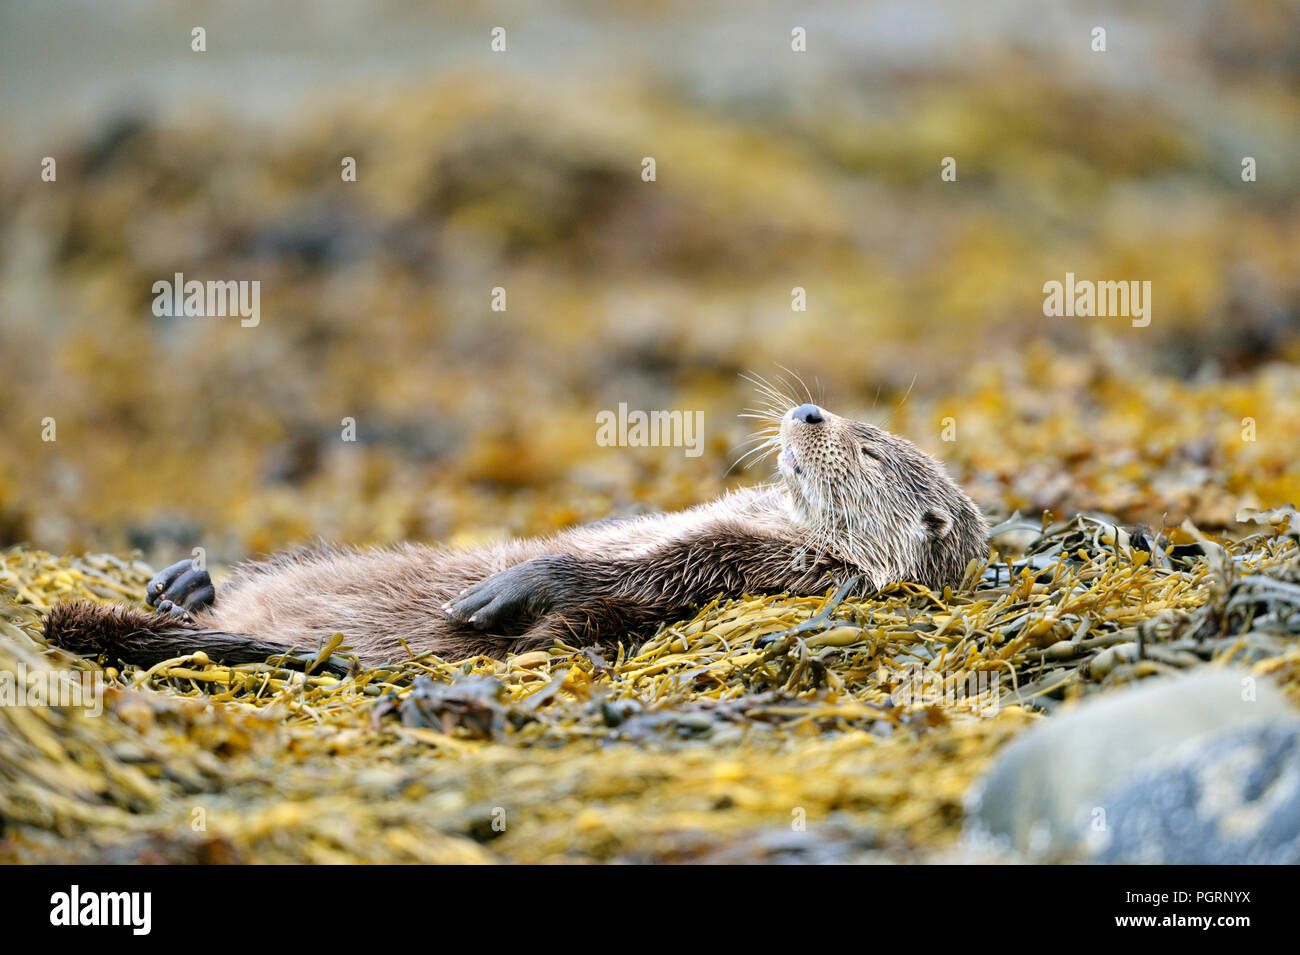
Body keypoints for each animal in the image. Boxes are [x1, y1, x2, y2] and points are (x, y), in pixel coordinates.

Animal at [43, 402, 988, 670]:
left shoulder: (743, 565)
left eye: (868, 448)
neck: (768, 522)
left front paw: (513, 588)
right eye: (860, 425)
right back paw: (185, 584)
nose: (809, 410)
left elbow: (617, 581)